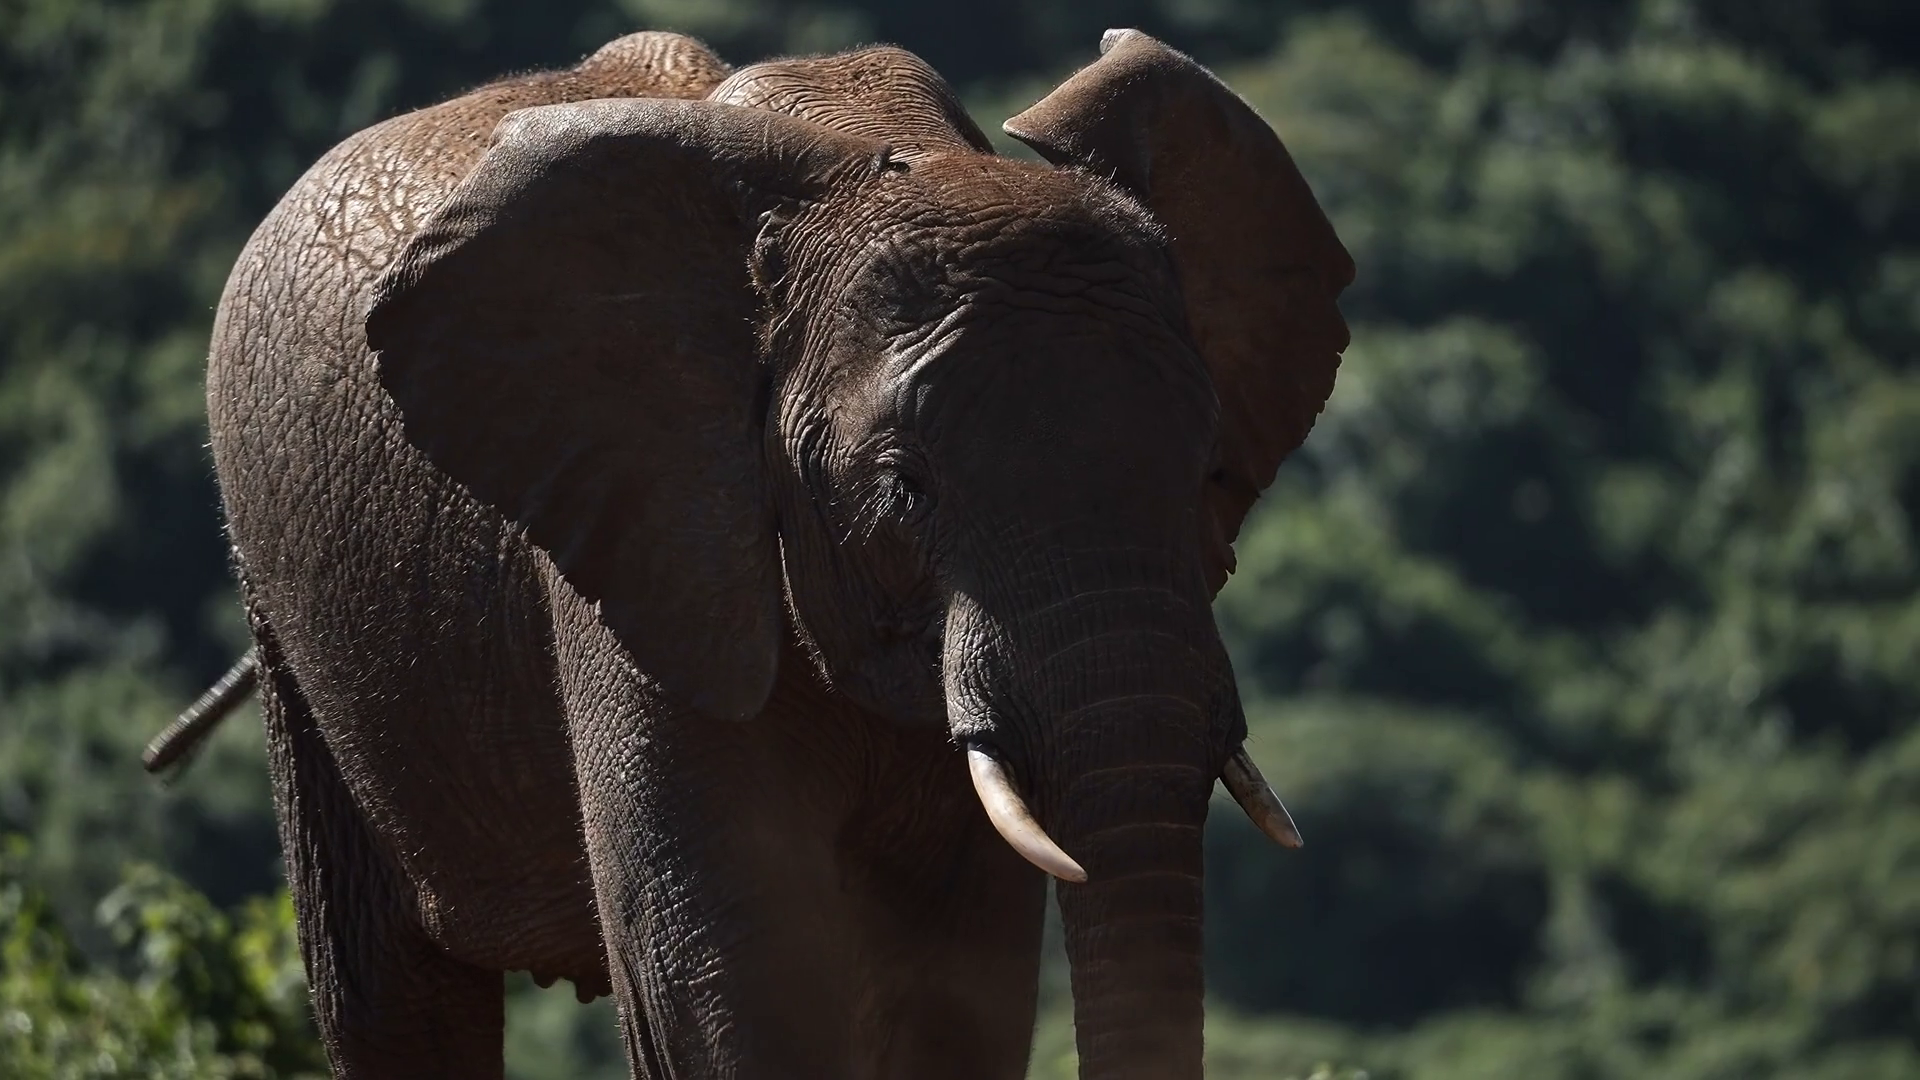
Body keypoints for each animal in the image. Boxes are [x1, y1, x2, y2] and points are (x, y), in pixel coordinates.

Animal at [199, 25, 1352, 1080]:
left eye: (1206, 475)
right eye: (906, 489)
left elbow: (959, 981)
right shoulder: (646, 532)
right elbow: (726, 971)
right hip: (287, 604)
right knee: (386, 991)